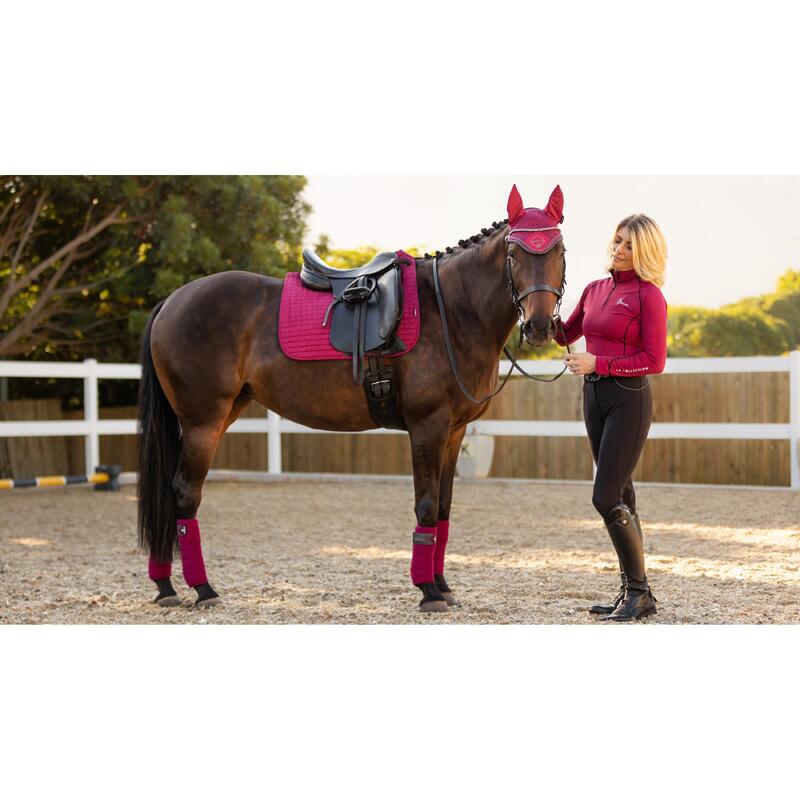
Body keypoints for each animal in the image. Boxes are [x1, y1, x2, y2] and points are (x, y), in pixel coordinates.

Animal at [136, 184, 567, 612]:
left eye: (560, 251)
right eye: (513, 254)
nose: (539, 326)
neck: (452, 311)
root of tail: (171, 301)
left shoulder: (454, 432)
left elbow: (443, 511)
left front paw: (442, 586)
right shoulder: (427, 427)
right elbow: (426, 506)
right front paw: (428, 591)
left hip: (221, 414)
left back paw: (166, 585)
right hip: (203, 423)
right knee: (185, 494)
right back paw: (203, 589)